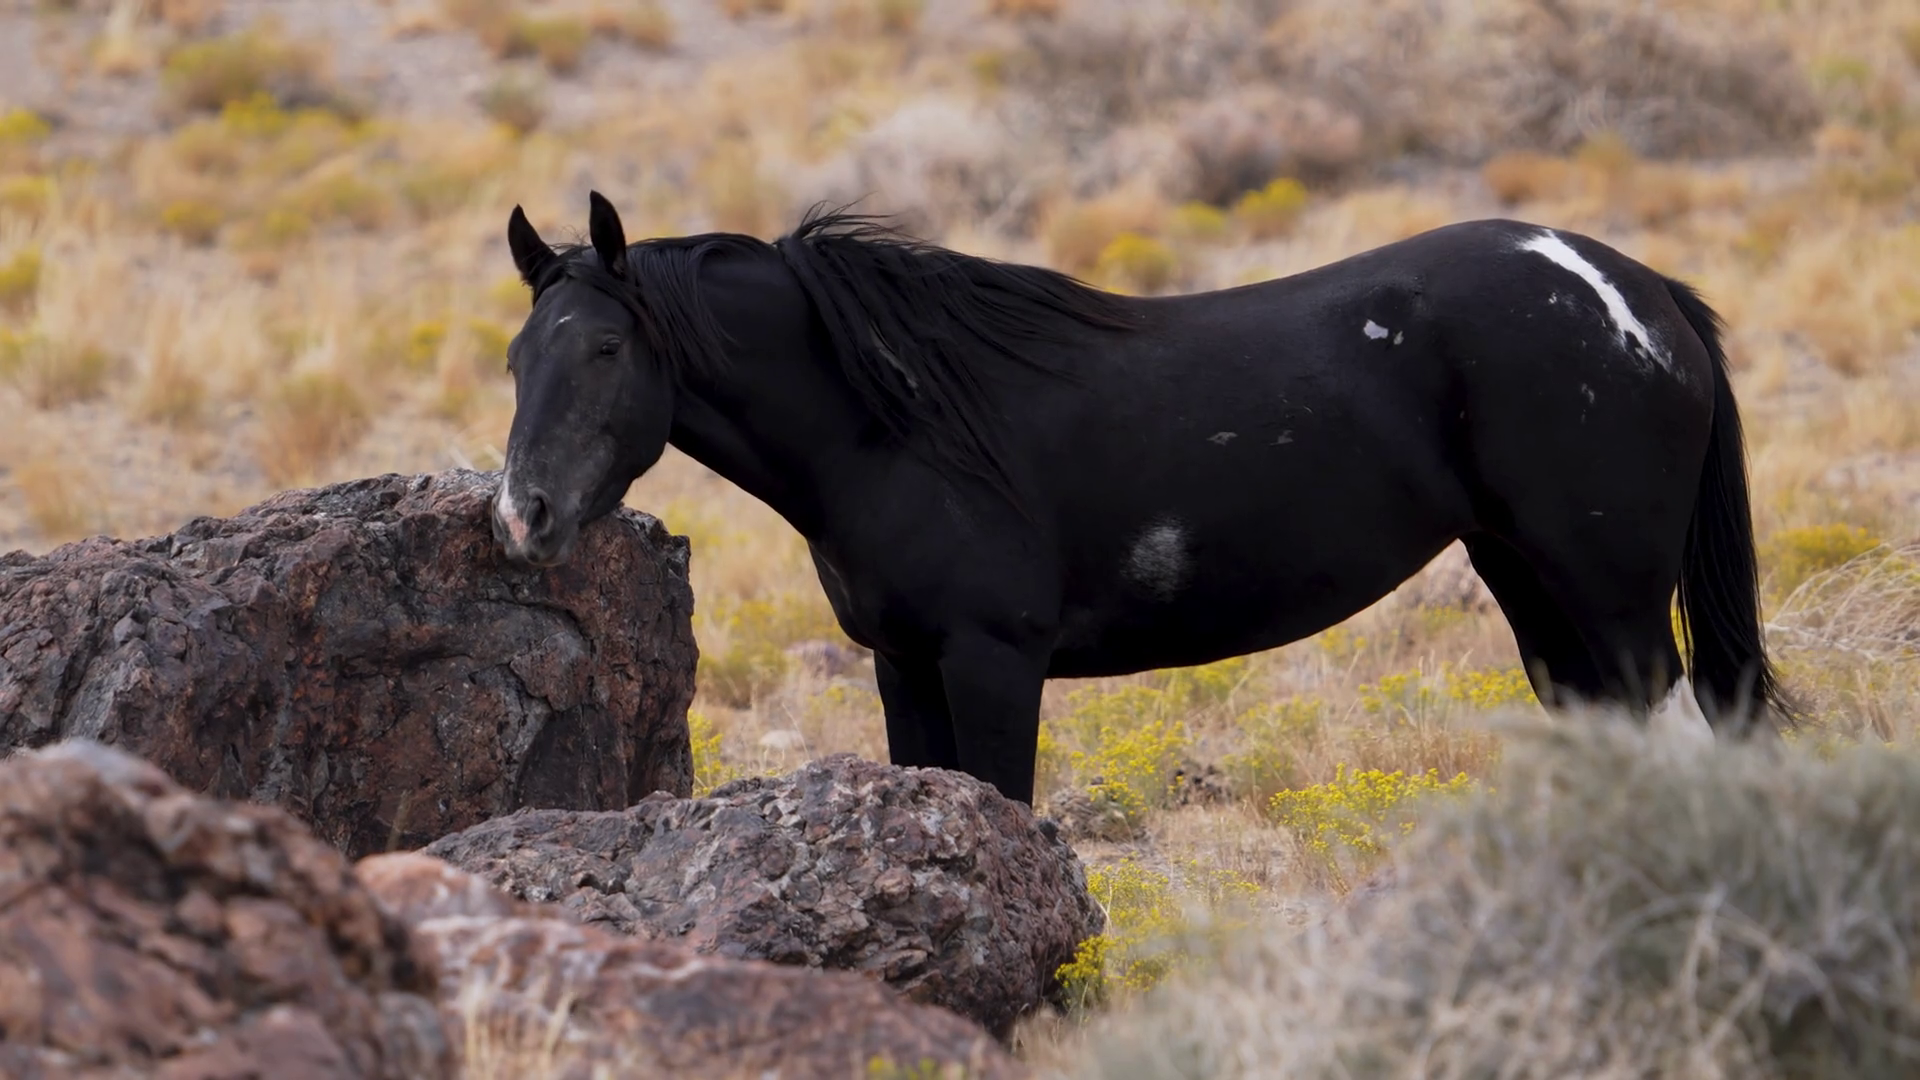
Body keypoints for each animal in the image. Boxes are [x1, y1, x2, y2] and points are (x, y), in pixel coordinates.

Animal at [489, 189, 1790, 806]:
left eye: (604, 349)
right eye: (516, 356)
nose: (523, 515)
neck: (901, 422)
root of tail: (1638, 294)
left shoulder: (993, 661)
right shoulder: (904, 666)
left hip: (1614, 597)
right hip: (1528, 579)